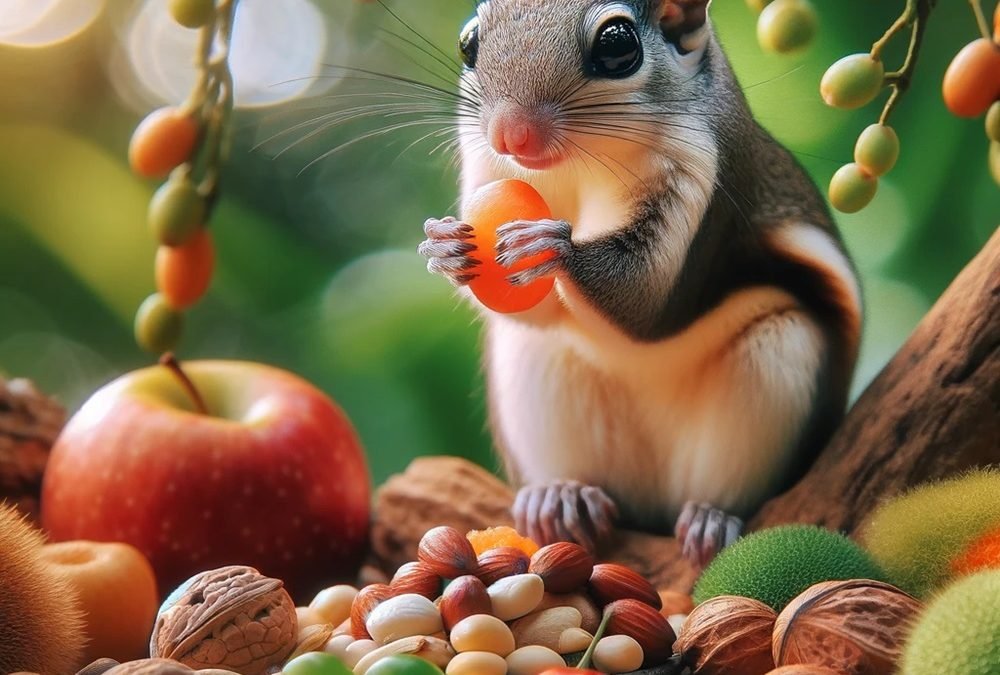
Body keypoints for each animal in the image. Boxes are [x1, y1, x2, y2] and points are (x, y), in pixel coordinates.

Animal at [419, 0, 862, 566]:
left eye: (617, 45)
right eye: (468, 42)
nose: (510, 134)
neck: (586, 161)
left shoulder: (703, 182)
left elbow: (645, 307)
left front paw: (556, 248)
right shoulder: (486, 165)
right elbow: (534, 311)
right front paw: (444, 247)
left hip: (779, 355)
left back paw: (713, 517)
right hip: (534, 368)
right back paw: (560, 495)